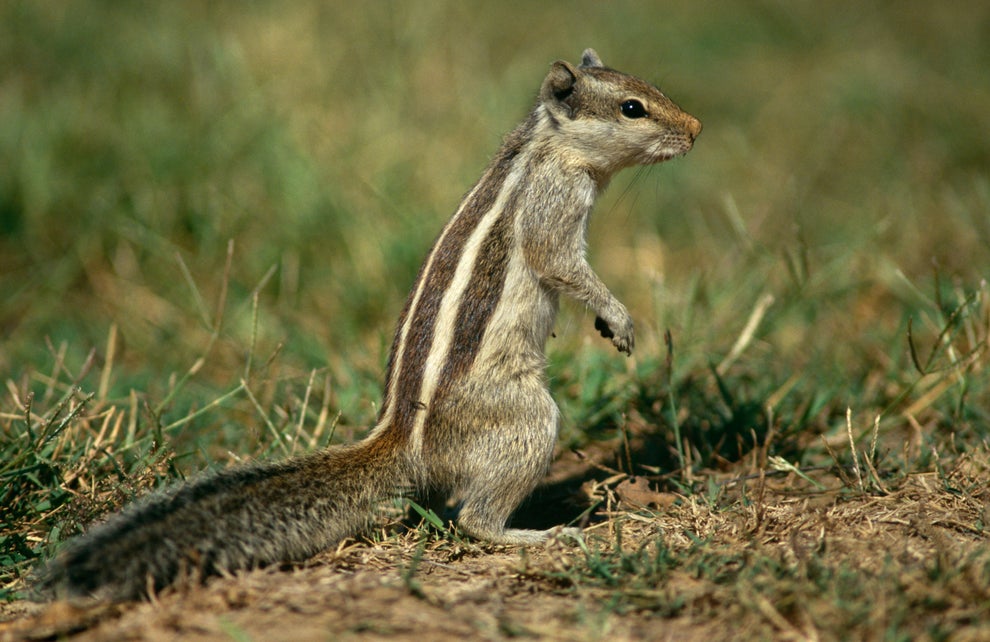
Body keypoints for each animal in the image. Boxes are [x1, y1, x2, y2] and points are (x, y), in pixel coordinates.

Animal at [38, 48, 701, 601]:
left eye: (651, 88)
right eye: (632, 107)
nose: (695, 129)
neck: (547, 146)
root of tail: (401, 437)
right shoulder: (553, 205)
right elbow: (559, 262)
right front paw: (618, 316)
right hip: (527, 419)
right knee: (472, 519)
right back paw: (535, 535)